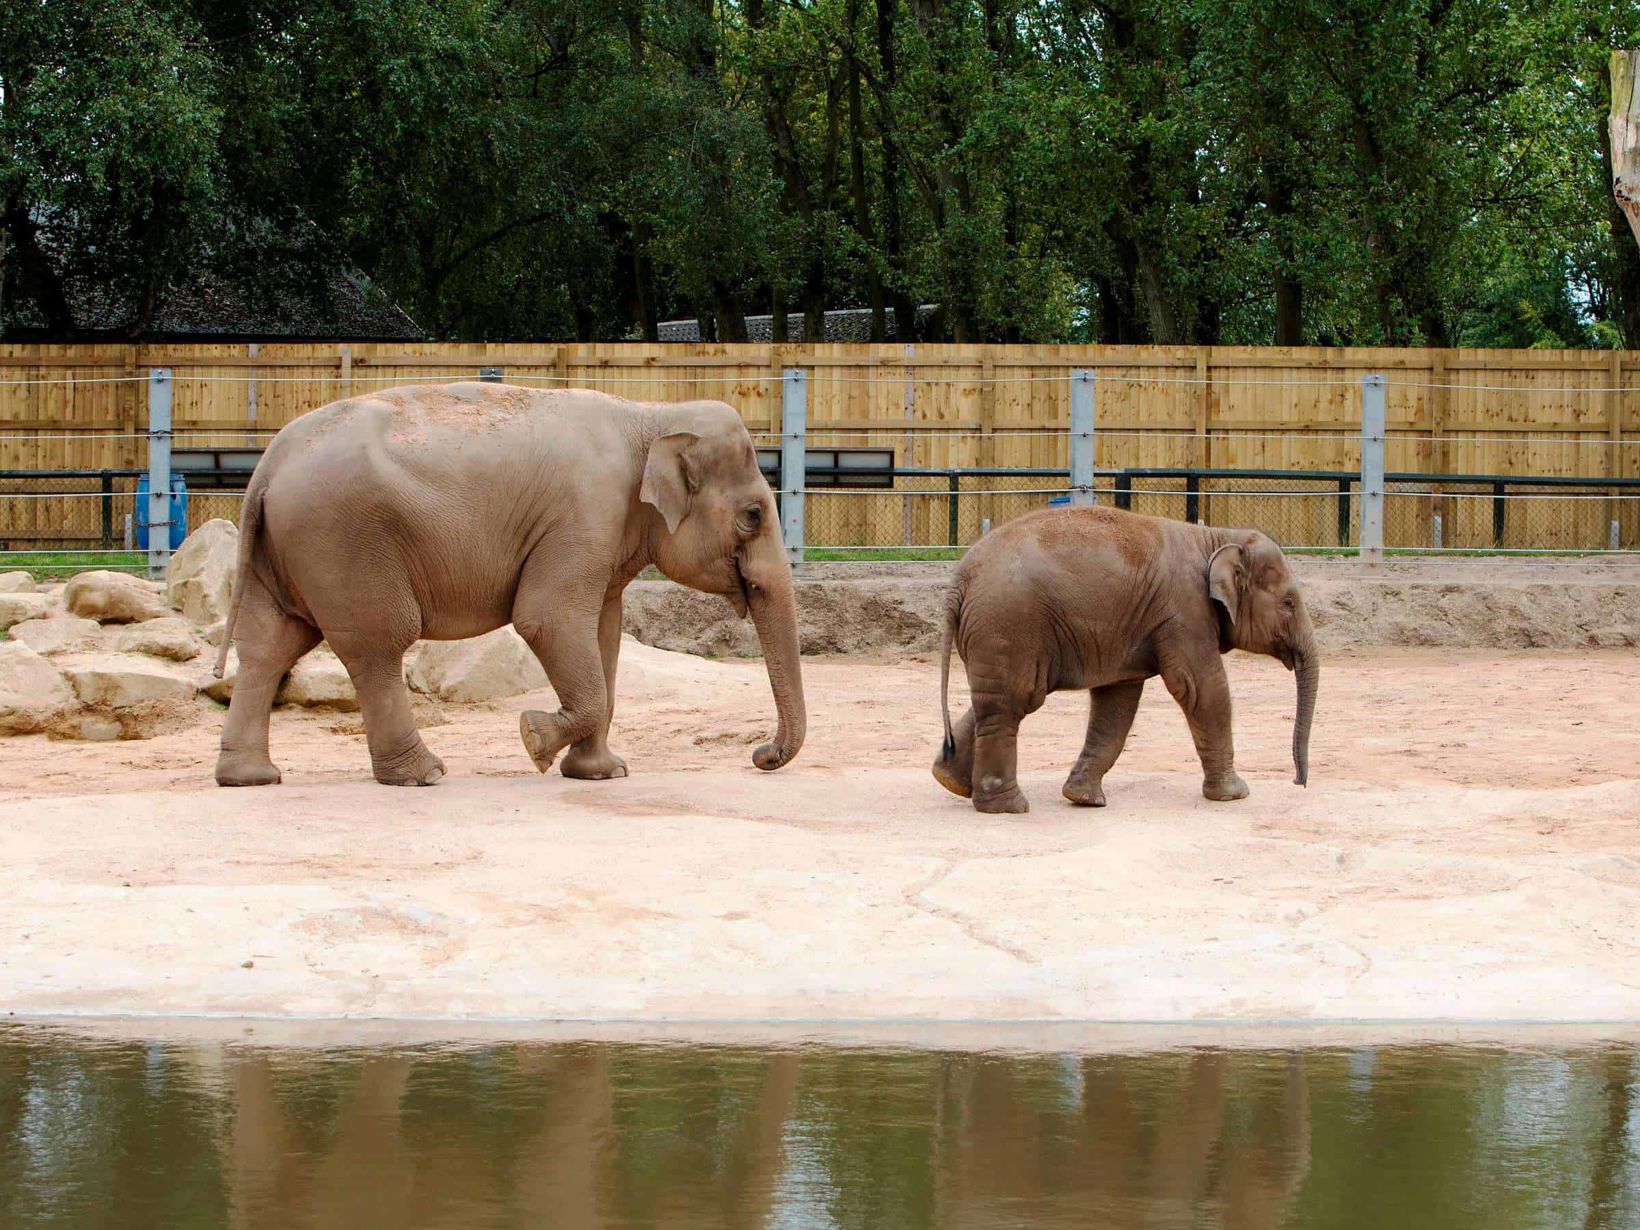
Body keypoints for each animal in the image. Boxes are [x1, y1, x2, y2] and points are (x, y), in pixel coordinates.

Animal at [212, 382, 805, 787]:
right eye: (753, 515)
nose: (761, 755)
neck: (649, 416)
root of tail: (265, 467)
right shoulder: (584, 514)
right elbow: (546, 619)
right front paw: (534, 740)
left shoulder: (604, 534)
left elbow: (603, 634)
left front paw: (600, 772)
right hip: (343, 544)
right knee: (377, 643)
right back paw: (423, 775)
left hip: (285, 552)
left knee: (269, 645)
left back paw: (250, 779)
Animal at [931, 505, 1318, 813]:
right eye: (1288, 603)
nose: (1299, 782)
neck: (1216, 537)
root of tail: (959, 582)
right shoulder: (1184, 612)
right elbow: (1202, 689)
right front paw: (1234, 795)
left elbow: (1117, 701)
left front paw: (1084, 799)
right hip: (1009, 624)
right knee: (1013, 703)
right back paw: (1008, 808)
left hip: (998, 633)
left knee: (995, 701)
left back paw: (951, 781)